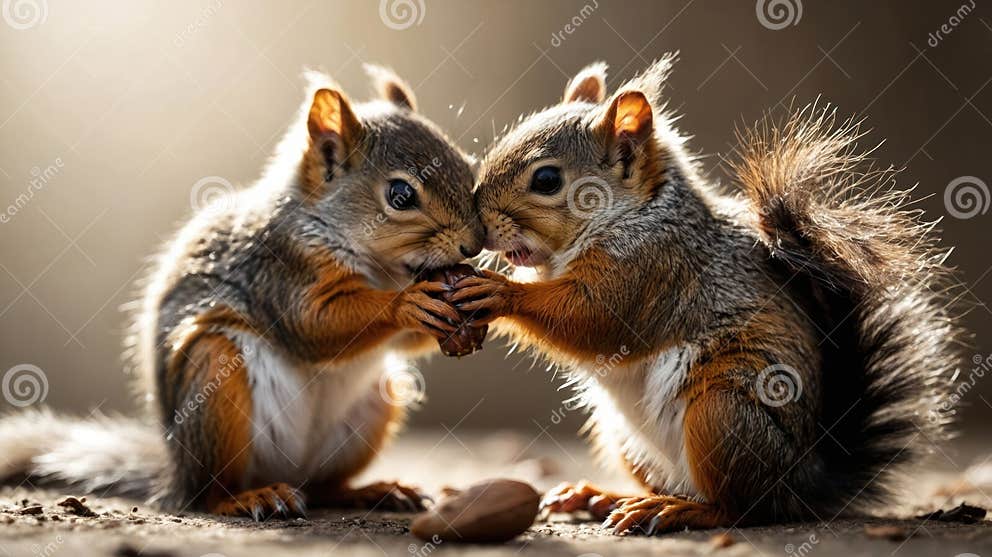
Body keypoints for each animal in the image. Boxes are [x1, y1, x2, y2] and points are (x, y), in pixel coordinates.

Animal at [0, 65, 484, 520]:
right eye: (400, 194)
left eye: (468, 165)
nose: (474, 245)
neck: (381, 269)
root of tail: (176, 474)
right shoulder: (279, 270)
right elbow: (314, 326)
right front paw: (406, 304)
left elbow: (408, 341)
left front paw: (484, 293)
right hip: (214, 380)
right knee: (211, 493)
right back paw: (249, 498)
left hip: (374, 407)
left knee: (324, 488)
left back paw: (373, 491)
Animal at [453, 56, 960, 535]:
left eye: (546, 180)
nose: (479, 224)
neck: (636, 213)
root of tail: (803, 483)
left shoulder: (652, 269)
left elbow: (591, 320)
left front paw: (500, 290)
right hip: (623, 435)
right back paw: (604, 497)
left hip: (723, 409)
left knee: (740, 508)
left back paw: (678, 509)